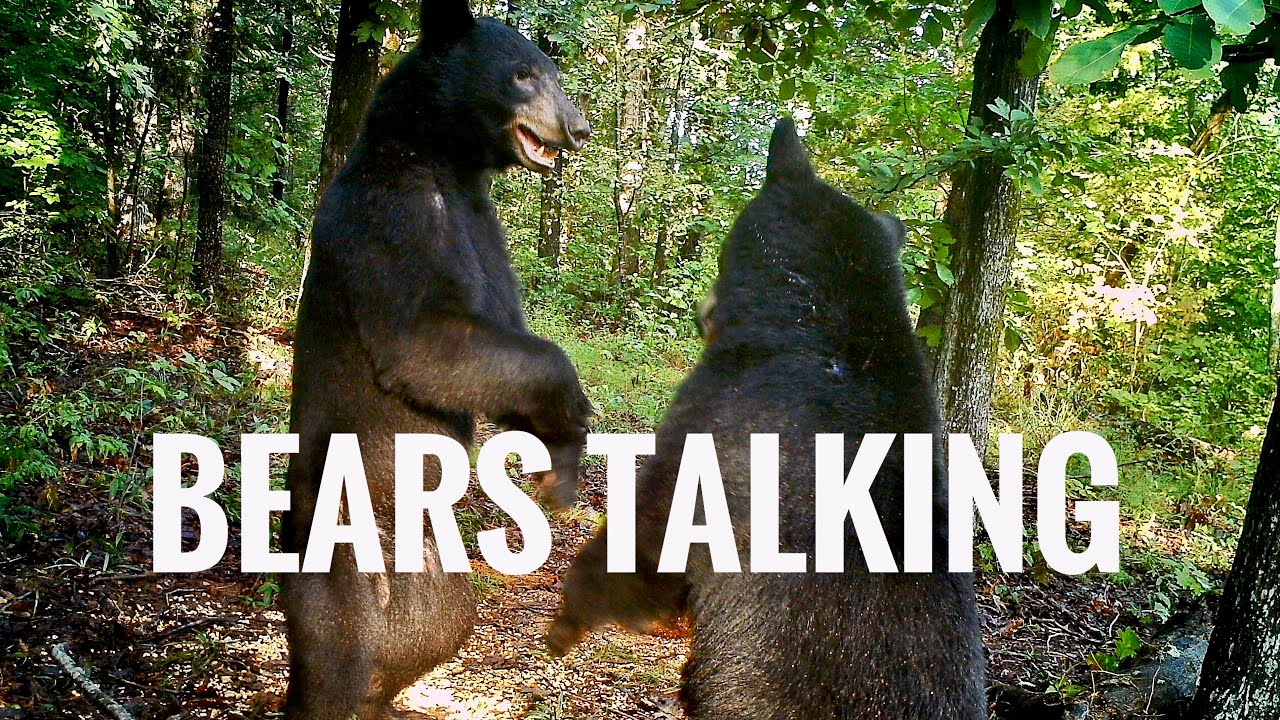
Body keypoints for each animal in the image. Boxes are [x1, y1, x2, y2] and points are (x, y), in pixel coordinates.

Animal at [282, 1, 594, 717]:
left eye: (554, 71)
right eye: (523, 73)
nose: (578, 128)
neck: (447, 164)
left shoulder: (485, 231)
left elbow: (504, 336)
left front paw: (556, 463)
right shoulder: (392, 212)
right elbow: (423, 337)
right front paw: (573, 412)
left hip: (437, 576)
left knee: (437, 629)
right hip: (337, 567)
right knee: (331, 659)